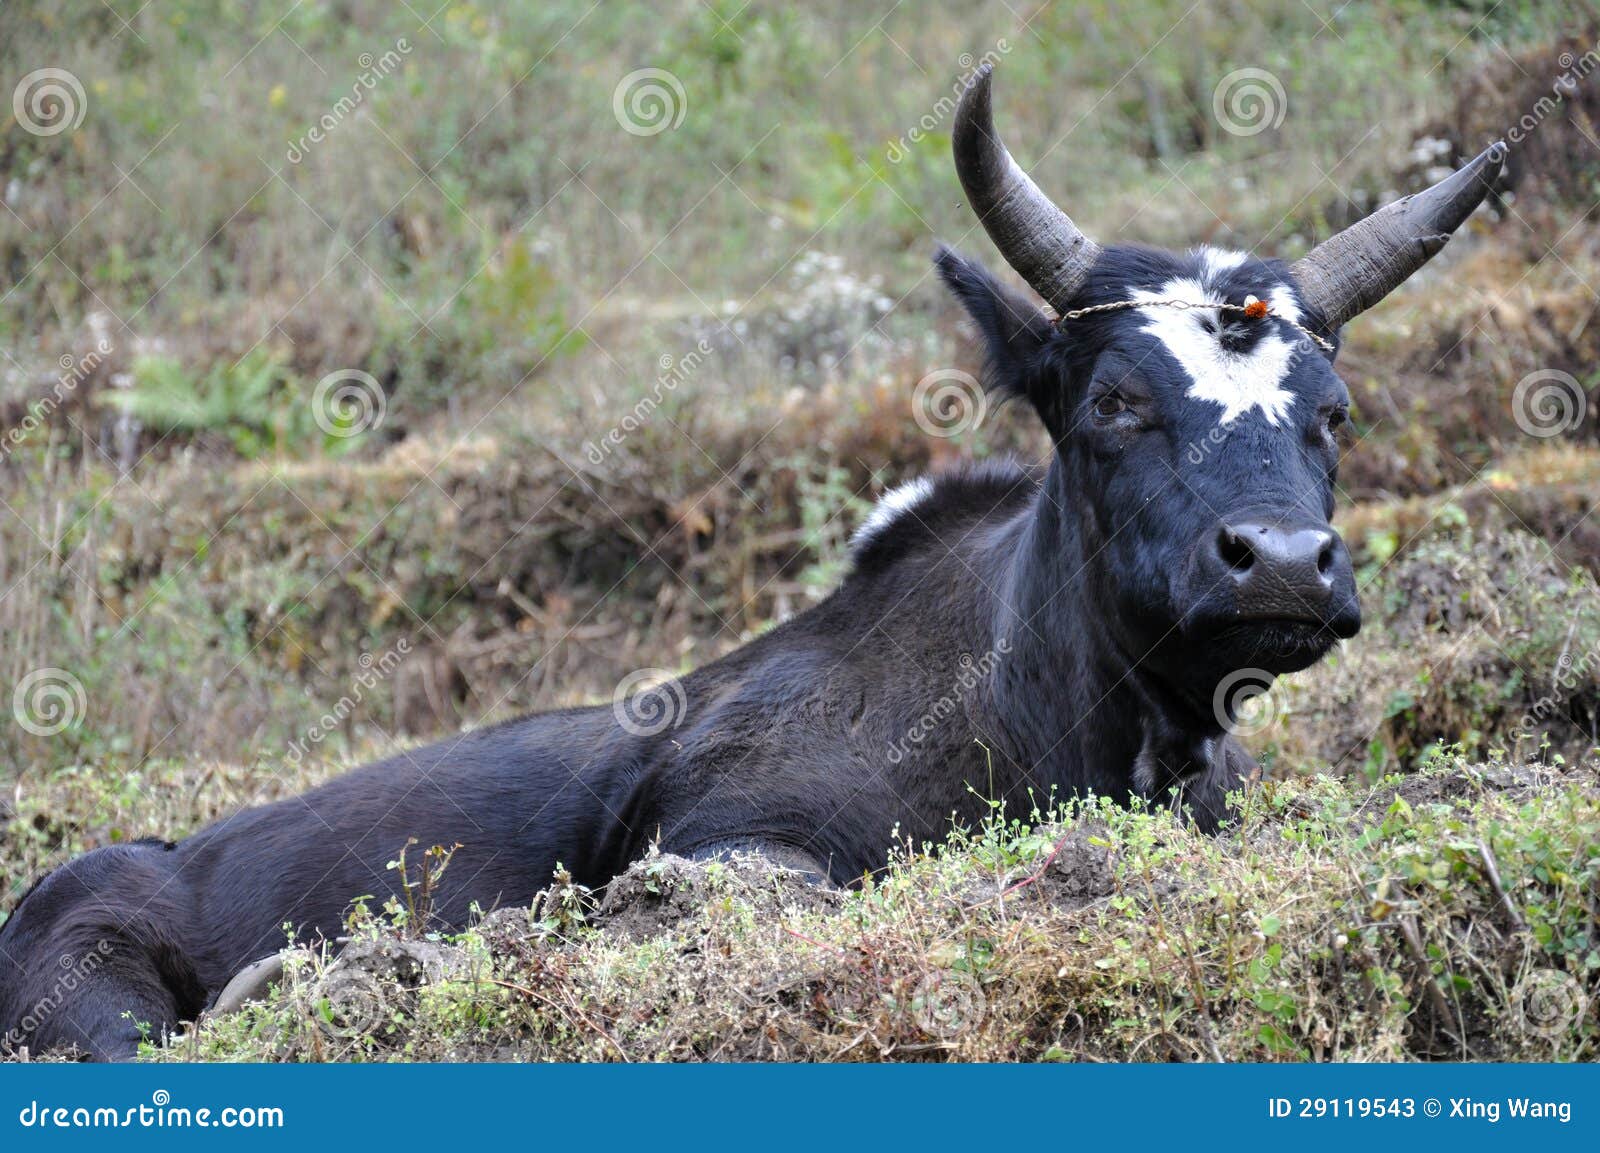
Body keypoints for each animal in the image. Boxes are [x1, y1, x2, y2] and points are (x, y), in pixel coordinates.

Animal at [0, 64, 1503, 1060]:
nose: (1283, 564)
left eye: (1335, 413)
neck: (1075, 723)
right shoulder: (720, 836)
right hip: (89, 978)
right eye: (1115, 400)